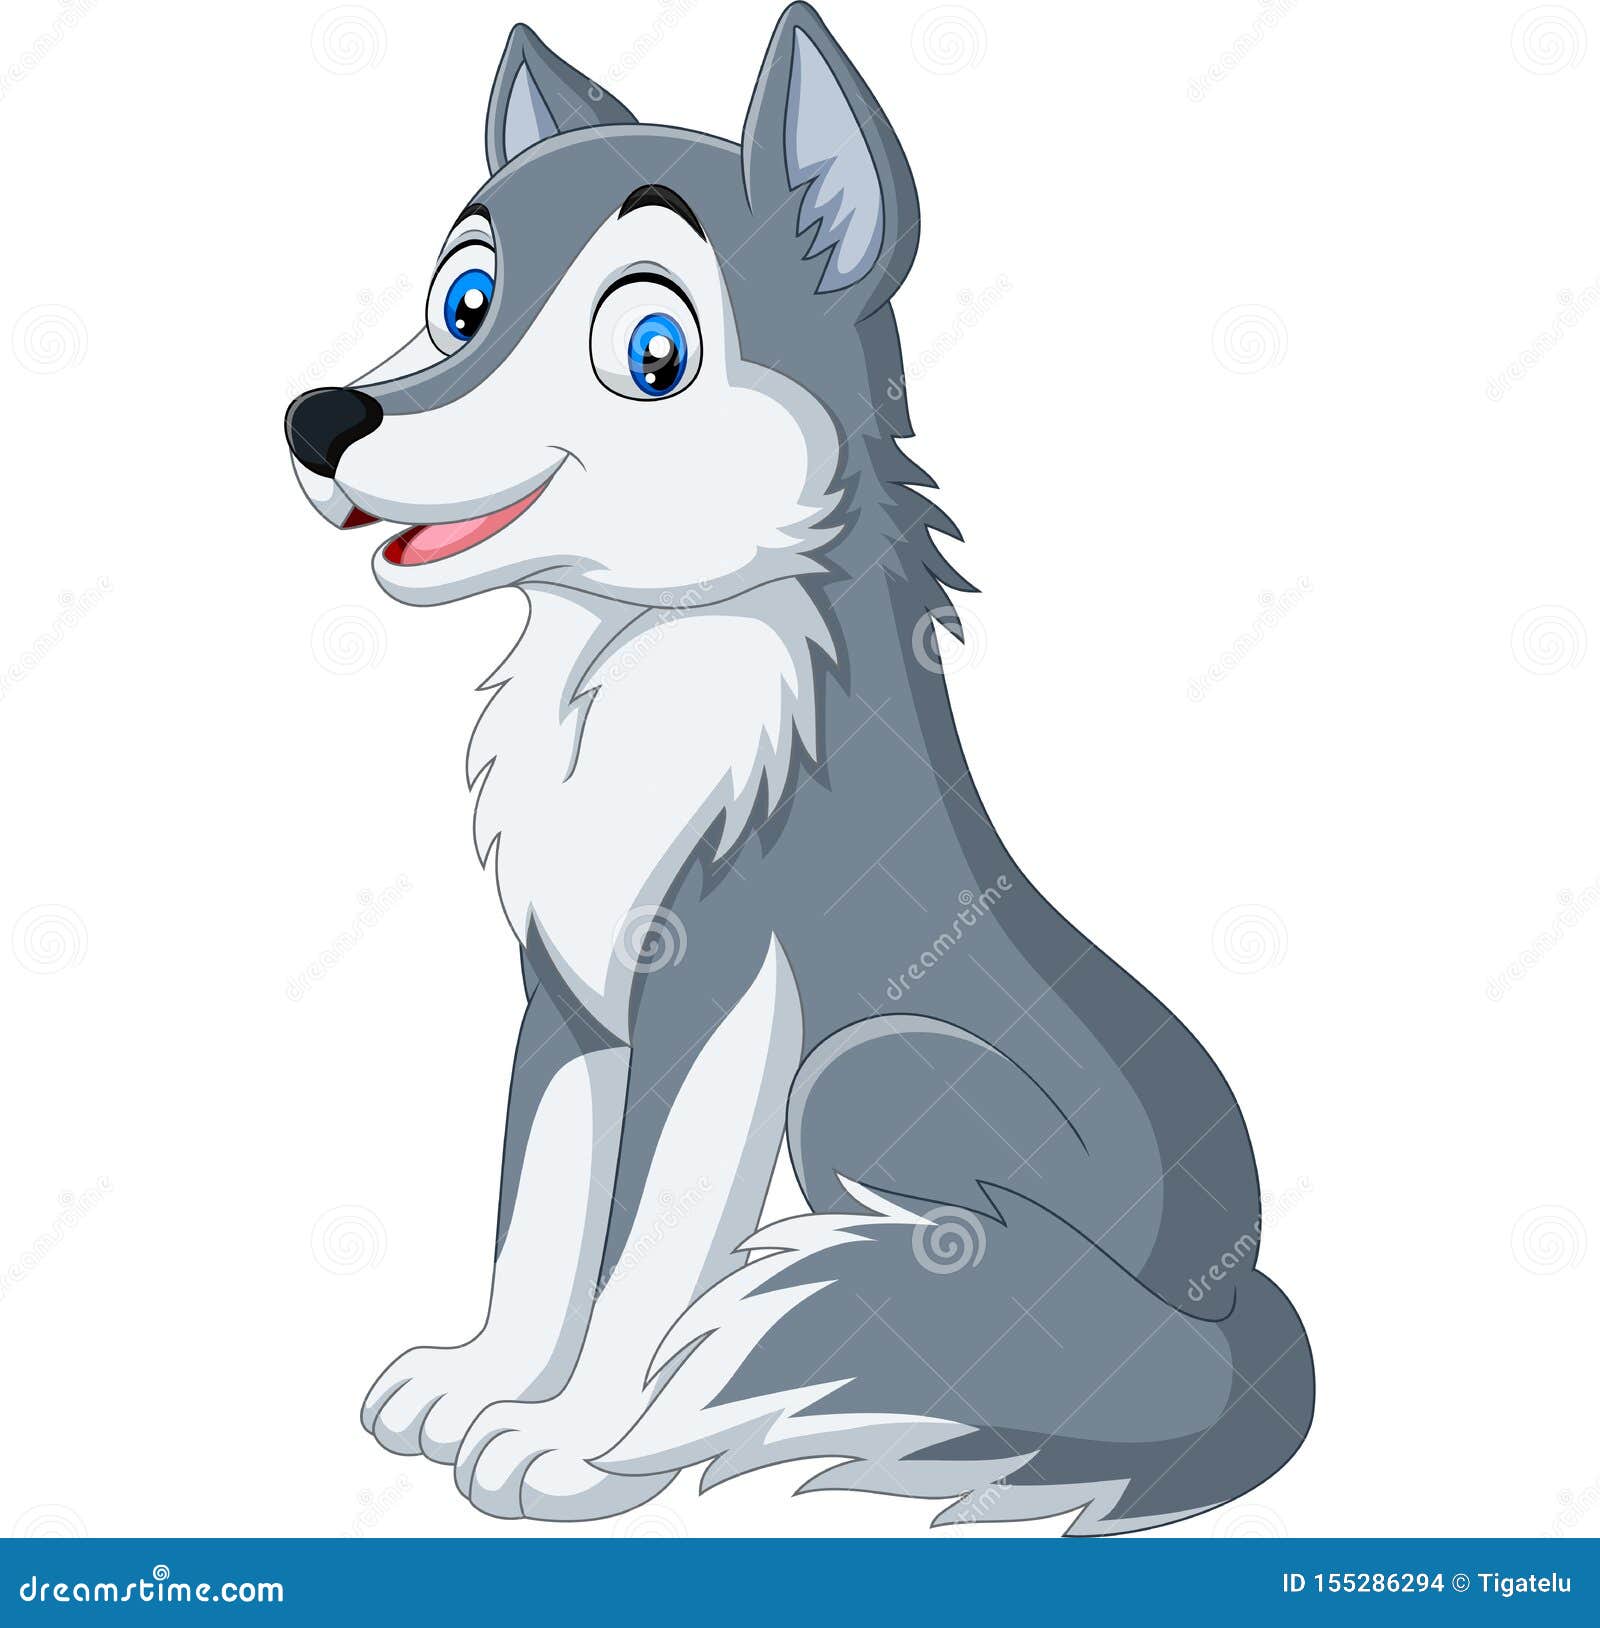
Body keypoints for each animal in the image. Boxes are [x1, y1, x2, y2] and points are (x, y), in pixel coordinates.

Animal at [284, 6, 1313, 1532]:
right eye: (464, 301)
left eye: (653, 349)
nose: (320, 418)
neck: (619, 681)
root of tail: (1225, 1301)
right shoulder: (567, 1001)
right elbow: (542, 1215)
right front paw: (484, 1384)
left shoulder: (726, 1002)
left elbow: (647, 1255)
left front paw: (578, 1444)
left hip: (863, 1077)